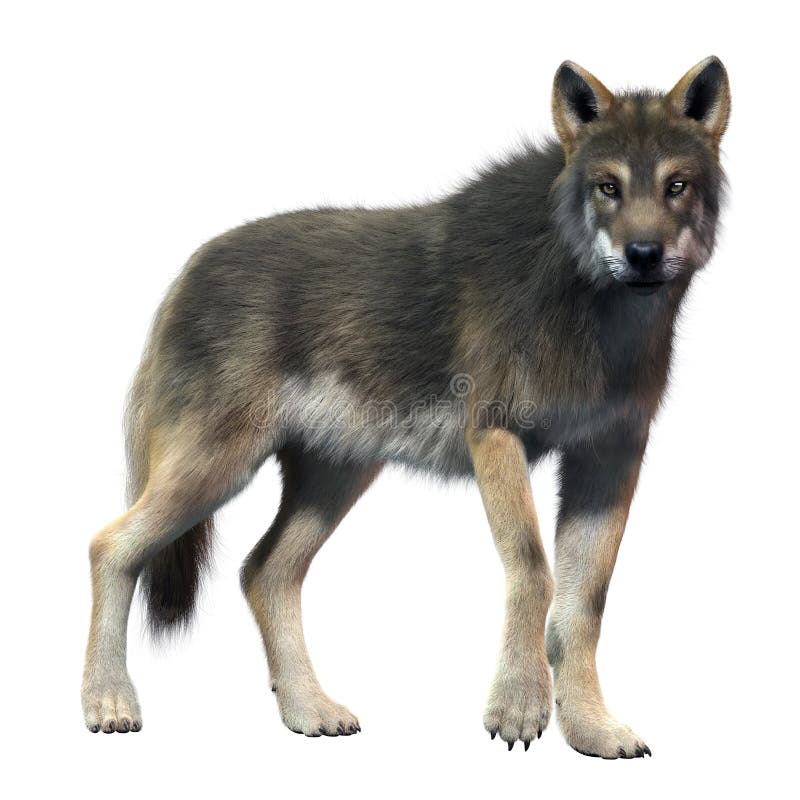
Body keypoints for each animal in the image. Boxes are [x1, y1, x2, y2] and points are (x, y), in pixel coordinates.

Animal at [81, 57, 730, 758]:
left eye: (676, 185)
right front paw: (518, 709)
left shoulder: (610, 458)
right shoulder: (496, 434)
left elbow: (585, 605)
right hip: (219, 469)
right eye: (609, 187)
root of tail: (186, 273)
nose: (643, 255)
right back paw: (108, 703)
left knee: (263, 572)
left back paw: (308, 711)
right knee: (111, 546)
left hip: (333, 481)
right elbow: (535, 570)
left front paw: (590, 729)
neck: (591, 308)